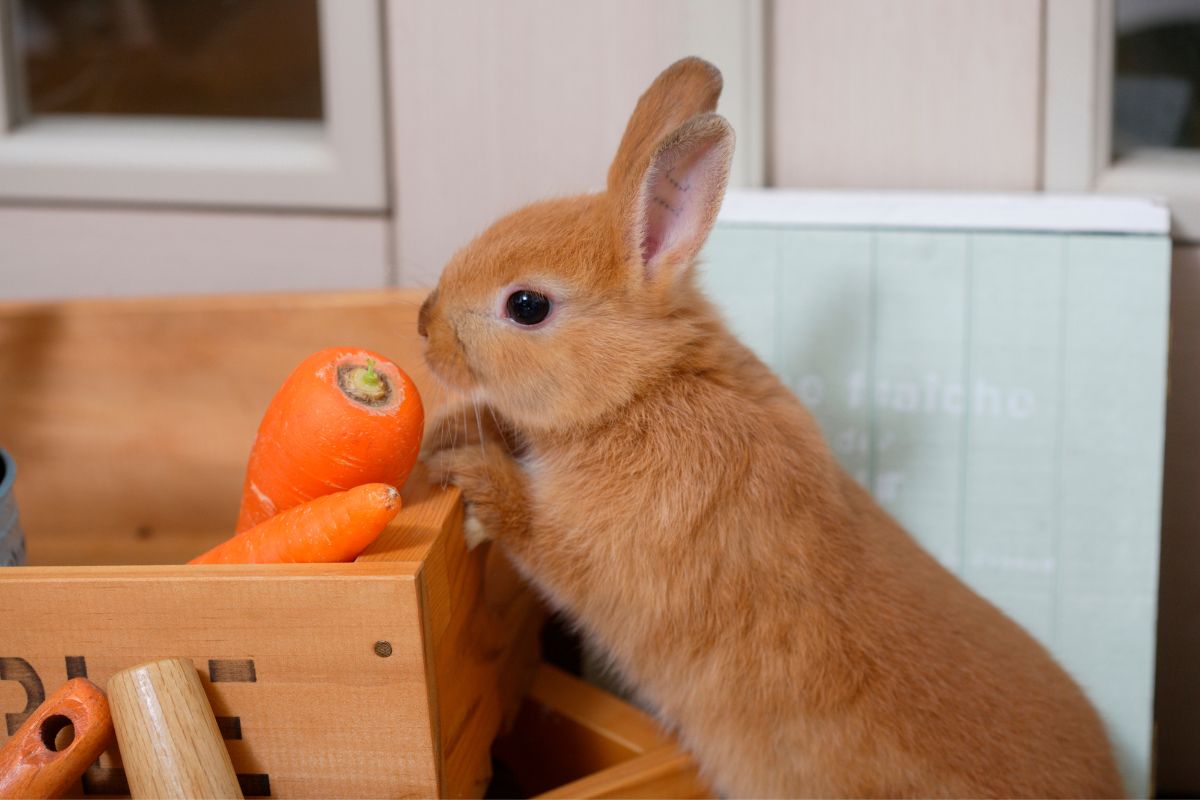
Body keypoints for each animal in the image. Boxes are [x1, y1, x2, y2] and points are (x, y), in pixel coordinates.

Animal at [418, 57, 1123, 799]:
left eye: (527, 306)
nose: (423, 325)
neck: (646, 387)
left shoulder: (609, 550)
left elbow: (535, 532)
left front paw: (468, 471)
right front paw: (452, 432)